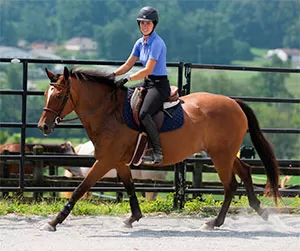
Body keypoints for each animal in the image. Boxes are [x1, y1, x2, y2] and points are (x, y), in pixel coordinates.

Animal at [38, 66, 282, 231]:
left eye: (59, 96)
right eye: (45, 95)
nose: (43, 126)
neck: (109, 112)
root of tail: (233, 103)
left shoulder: (106, 160)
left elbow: (80, 189)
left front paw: (54, 221)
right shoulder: (118, 161)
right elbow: (129, 187)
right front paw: (133, 217)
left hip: (221, 156)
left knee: (230, 184)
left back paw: (216, 222)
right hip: (225, 153)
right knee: (245, 172)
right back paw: (260, 210)